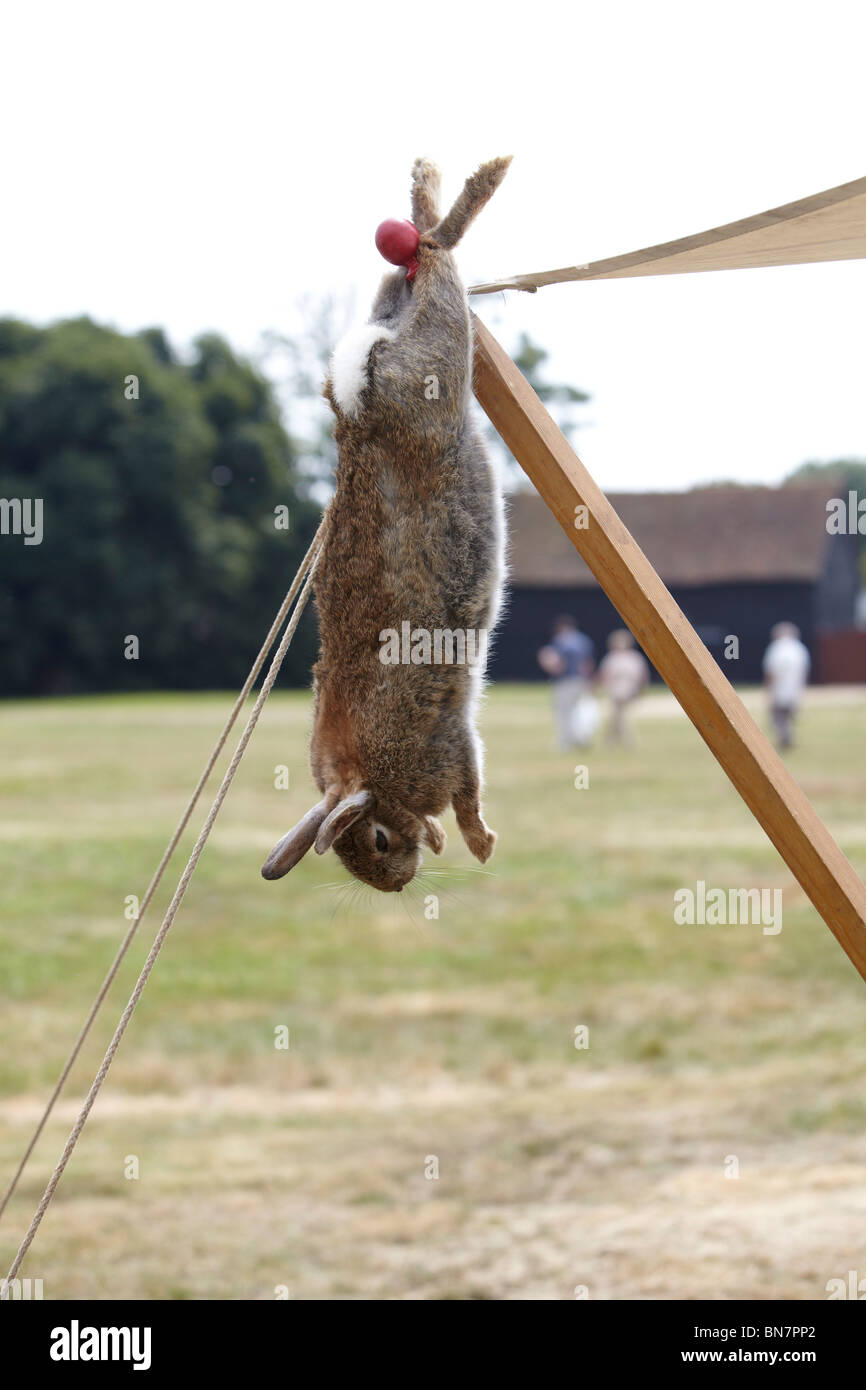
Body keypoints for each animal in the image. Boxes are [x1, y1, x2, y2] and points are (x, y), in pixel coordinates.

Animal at [262, 156, 511, 893]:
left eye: (373, 837)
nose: (398, 883)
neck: (367, 776)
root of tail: (355, 398)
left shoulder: (447, 746)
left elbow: (469, 794)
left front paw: (480, 843)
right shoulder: (453, 742)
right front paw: (458, 840)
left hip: (441, 356)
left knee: (438, 262)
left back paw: (472, 182)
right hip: (412, 333)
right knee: (423, 256)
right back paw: (434, 186)